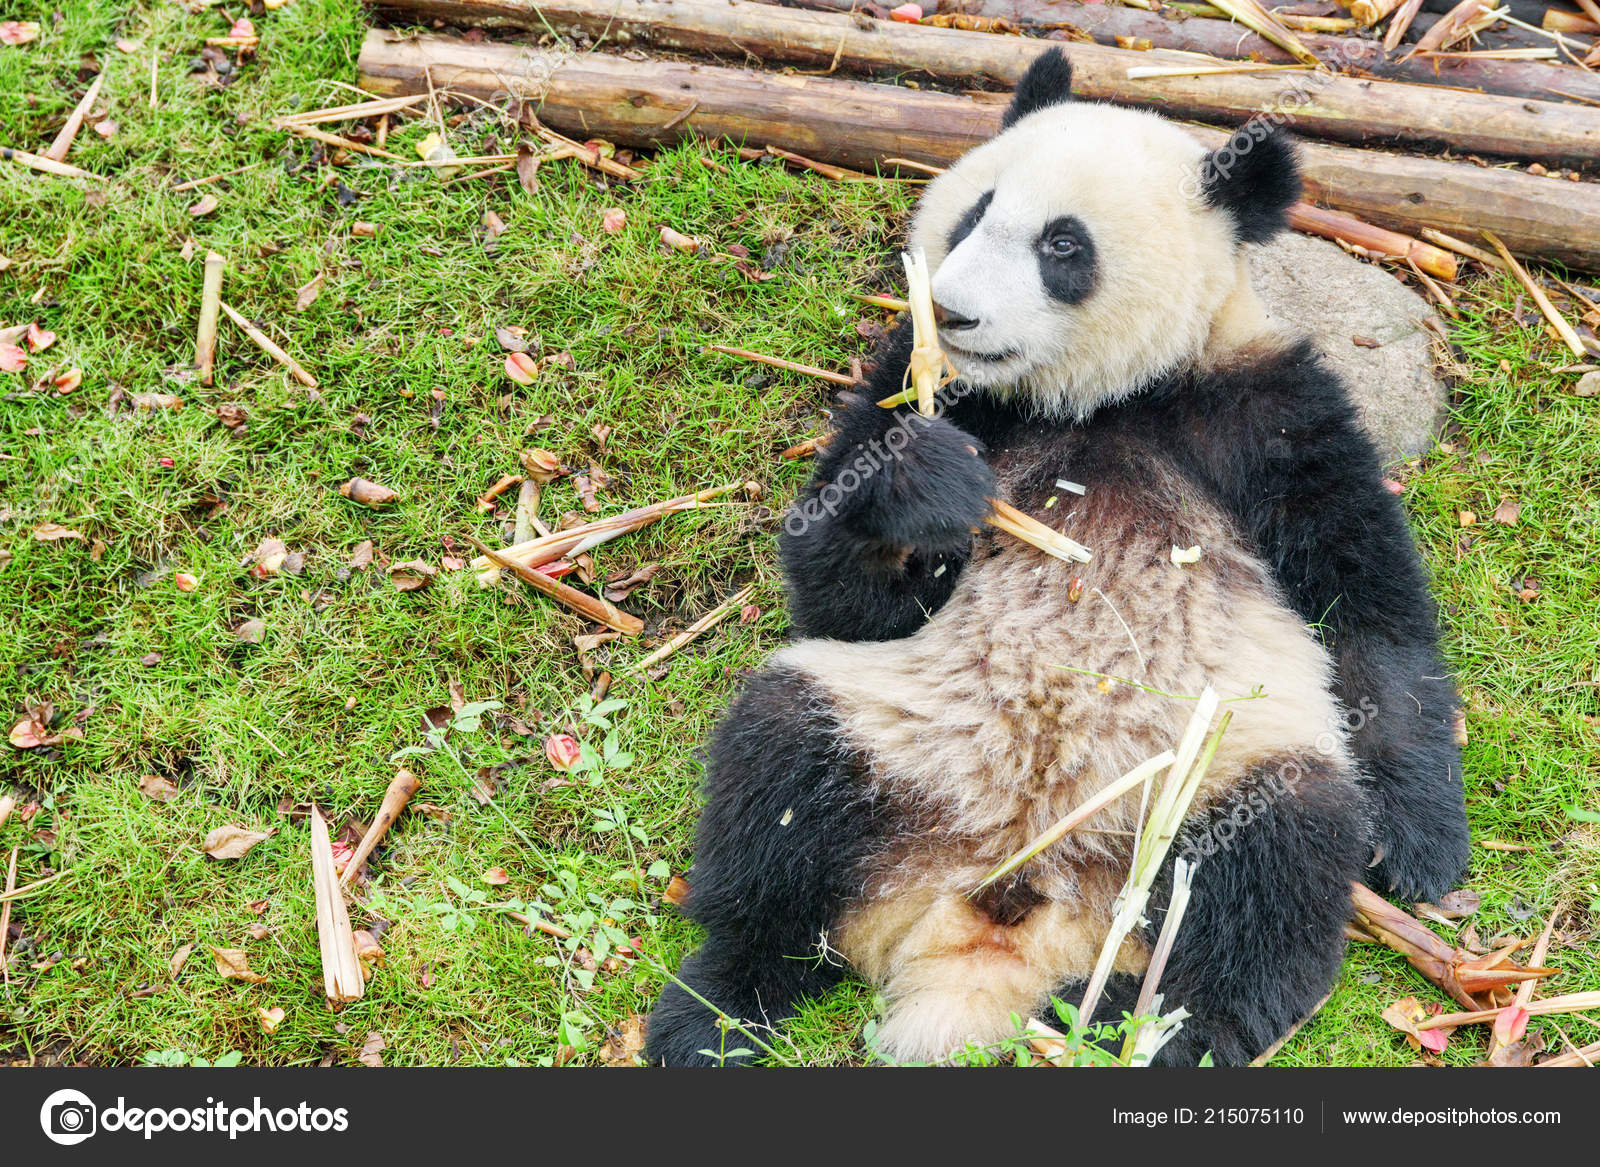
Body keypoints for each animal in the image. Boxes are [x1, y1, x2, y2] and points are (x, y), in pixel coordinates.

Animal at [647, 49, 1470, 1067]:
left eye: (1063, 245)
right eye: (974, 212)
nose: (952, 312)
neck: (1093, 400)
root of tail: (998, 916)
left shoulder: (1264, 411)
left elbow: (1365, 610)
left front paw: (1423, 844)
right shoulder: (919, 386)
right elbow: (844, 593)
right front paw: (927, 486)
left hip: (1204, 789)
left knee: (1277, 871)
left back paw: (1133, 1022)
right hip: (890, 733)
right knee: (777, 777)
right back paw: (718, 1006)